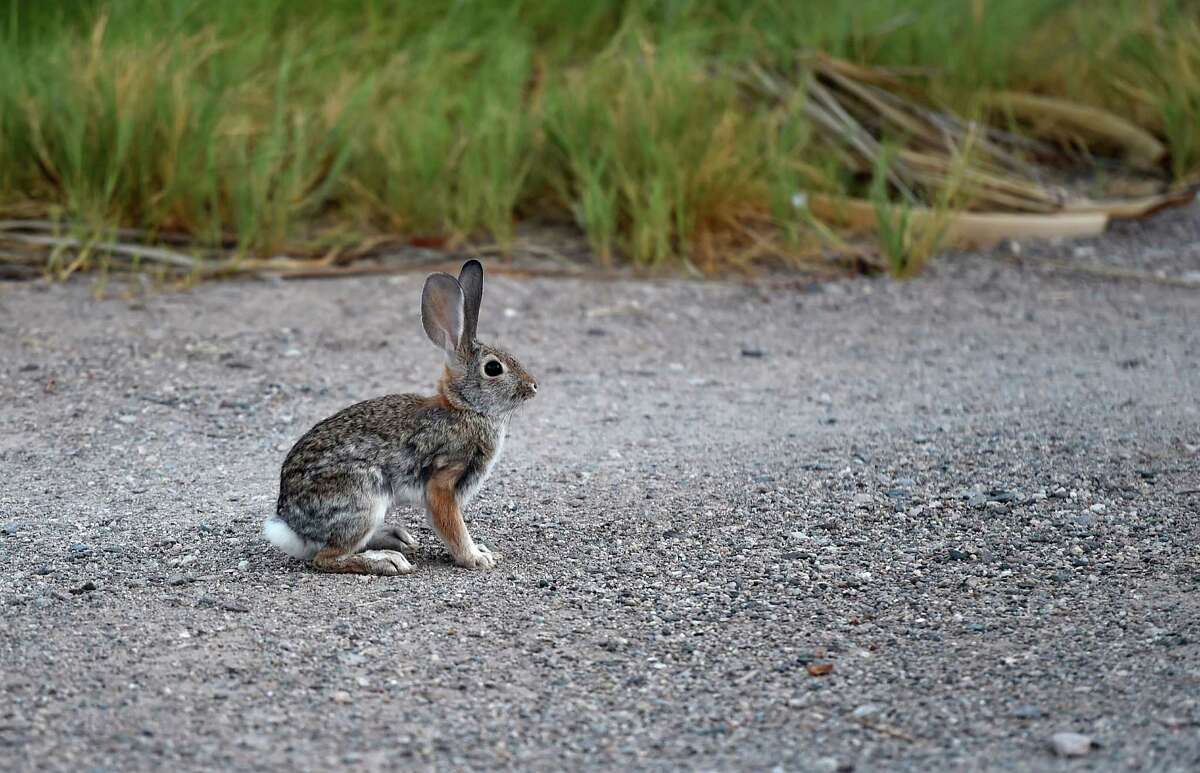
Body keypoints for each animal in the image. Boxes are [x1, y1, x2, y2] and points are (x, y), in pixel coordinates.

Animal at [262, 259, 538, 575]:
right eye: (493, 368)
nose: (533, 386)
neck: (465, 408)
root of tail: (291, 526)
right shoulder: (444, 478)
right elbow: (451, 525)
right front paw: (476, 558)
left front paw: (481, 551)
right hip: (364, 498)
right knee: (326, 558)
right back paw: (387, 560)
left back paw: (396, 538)